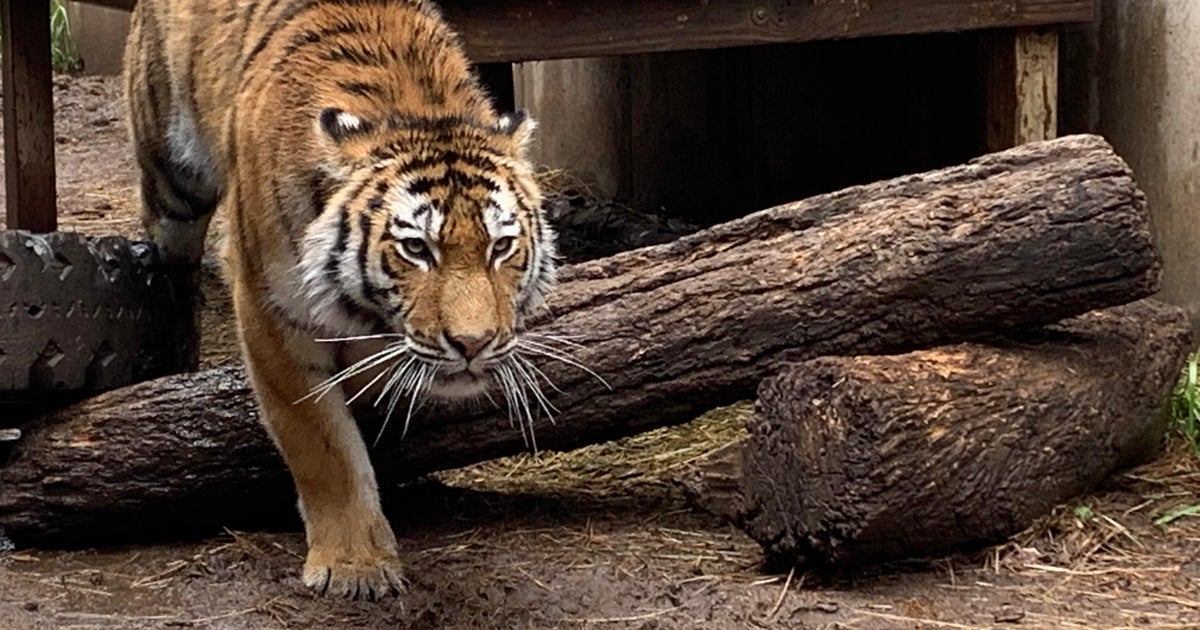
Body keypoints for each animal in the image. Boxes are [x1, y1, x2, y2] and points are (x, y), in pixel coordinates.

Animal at [123, 0, 557, 600]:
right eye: (416, 248)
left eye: (501, 246)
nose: (472, 344)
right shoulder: (272, 313)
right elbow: (321, 442)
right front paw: (354, 565)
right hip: (173, 178)